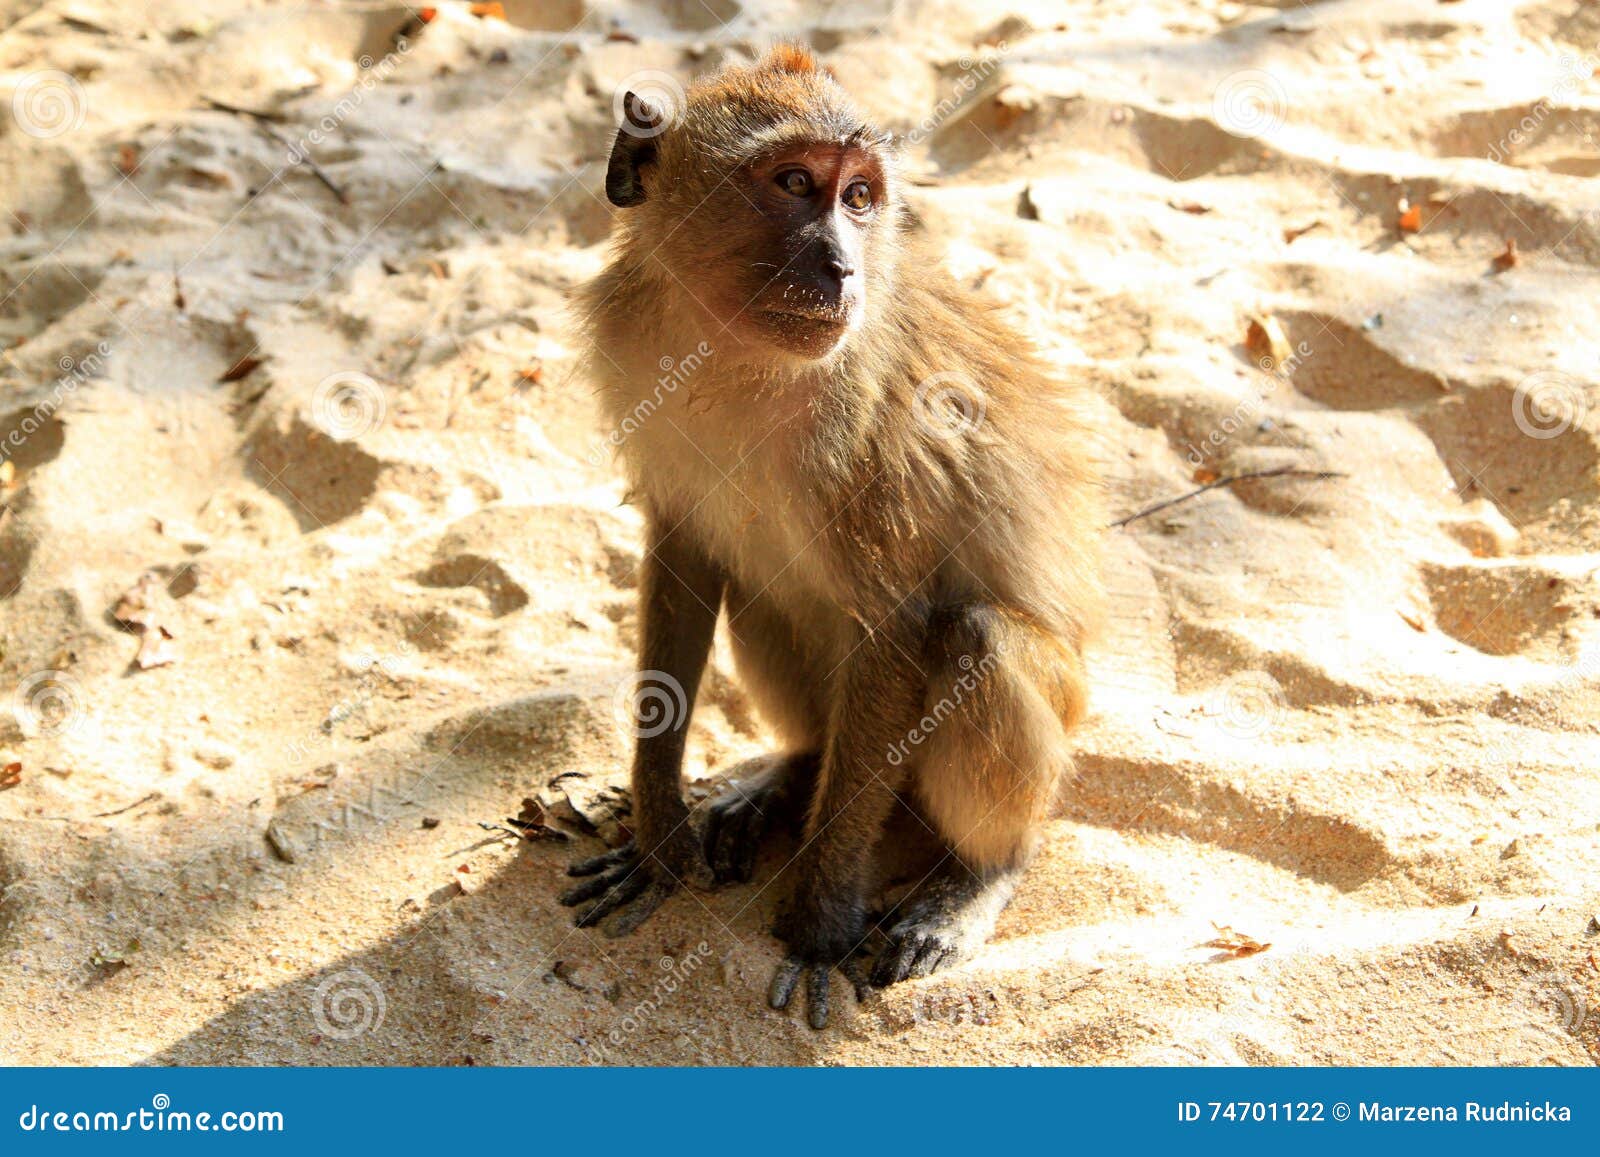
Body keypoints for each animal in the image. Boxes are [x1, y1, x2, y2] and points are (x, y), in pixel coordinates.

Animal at [558, 45, 1102, 1030]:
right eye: (795, 183)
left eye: (858, 197)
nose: (843, 268)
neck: (736, 354)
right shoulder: (637, 352)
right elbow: (685, 557)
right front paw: (658, 839)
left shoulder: (883, 427)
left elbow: (894, 628)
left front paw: (817, 928)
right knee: (758, 585)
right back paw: (790, 776)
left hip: (1062, 704)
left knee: (975, 639)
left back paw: (979, 875)